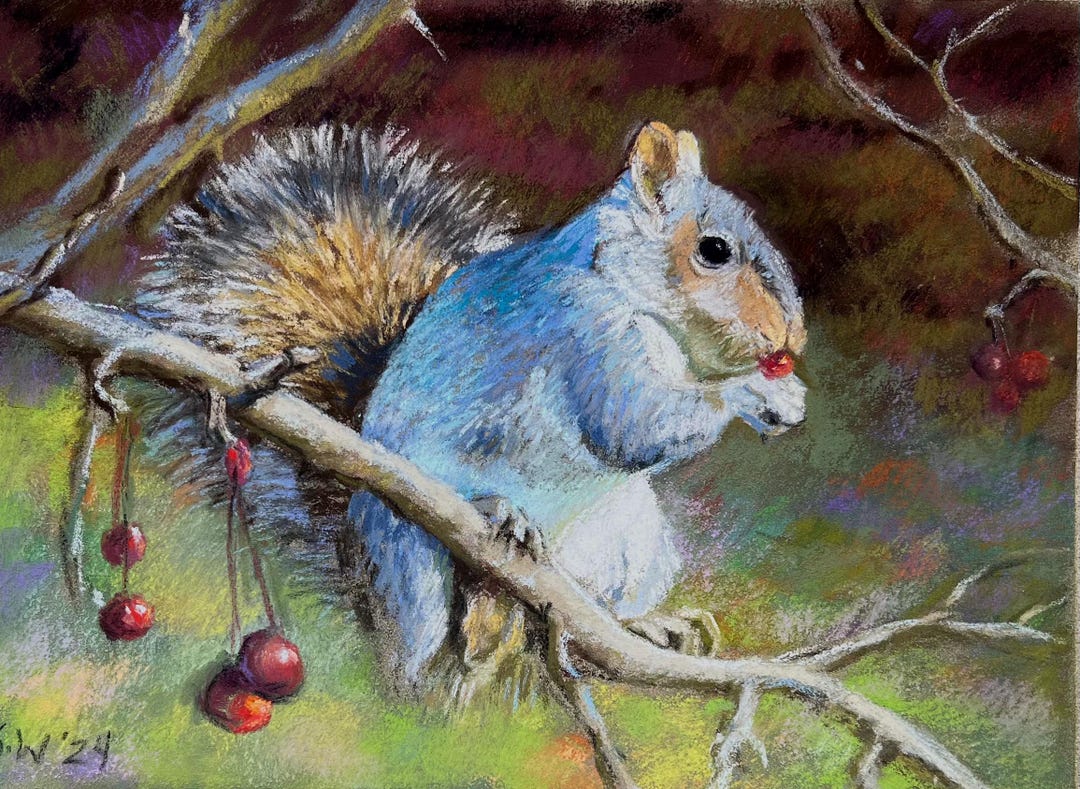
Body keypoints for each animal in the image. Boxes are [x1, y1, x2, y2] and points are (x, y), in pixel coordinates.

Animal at [137, 121, 808, 701]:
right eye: (713, 250)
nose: (793, 337)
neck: (626, 289)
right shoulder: (583, 334)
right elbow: (631, 426)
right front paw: (755, 392)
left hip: (634, 547)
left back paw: (645, 627)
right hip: (410, 561)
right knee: (421, 663)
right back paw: (489, 541)